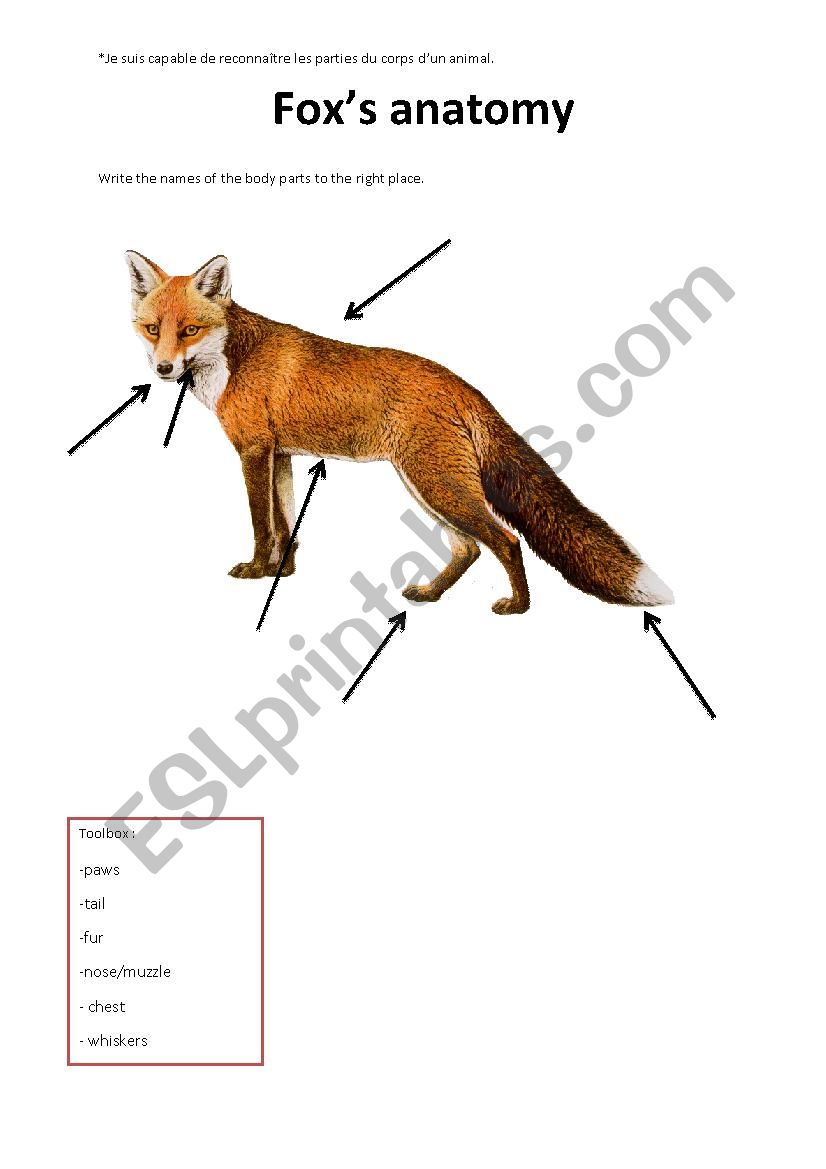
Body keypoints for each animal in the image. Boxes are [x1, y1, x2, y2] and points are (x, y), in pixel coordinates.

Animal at [126, 251, 673, 614]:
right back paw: (431, 593)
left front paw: (258, 571)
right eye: (153, 329)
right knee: (469, 548)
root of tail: (461, 384)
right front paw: (283, 571)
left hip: (436, 483)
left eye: (190, 330)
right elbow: (285, 525)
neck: (233, 360)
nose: (164, 369)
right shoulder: (280, 454)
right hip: (425, 485)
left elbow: (263, 525)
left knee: (505, 540)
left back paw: (517, 606)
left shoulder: (253, 451)